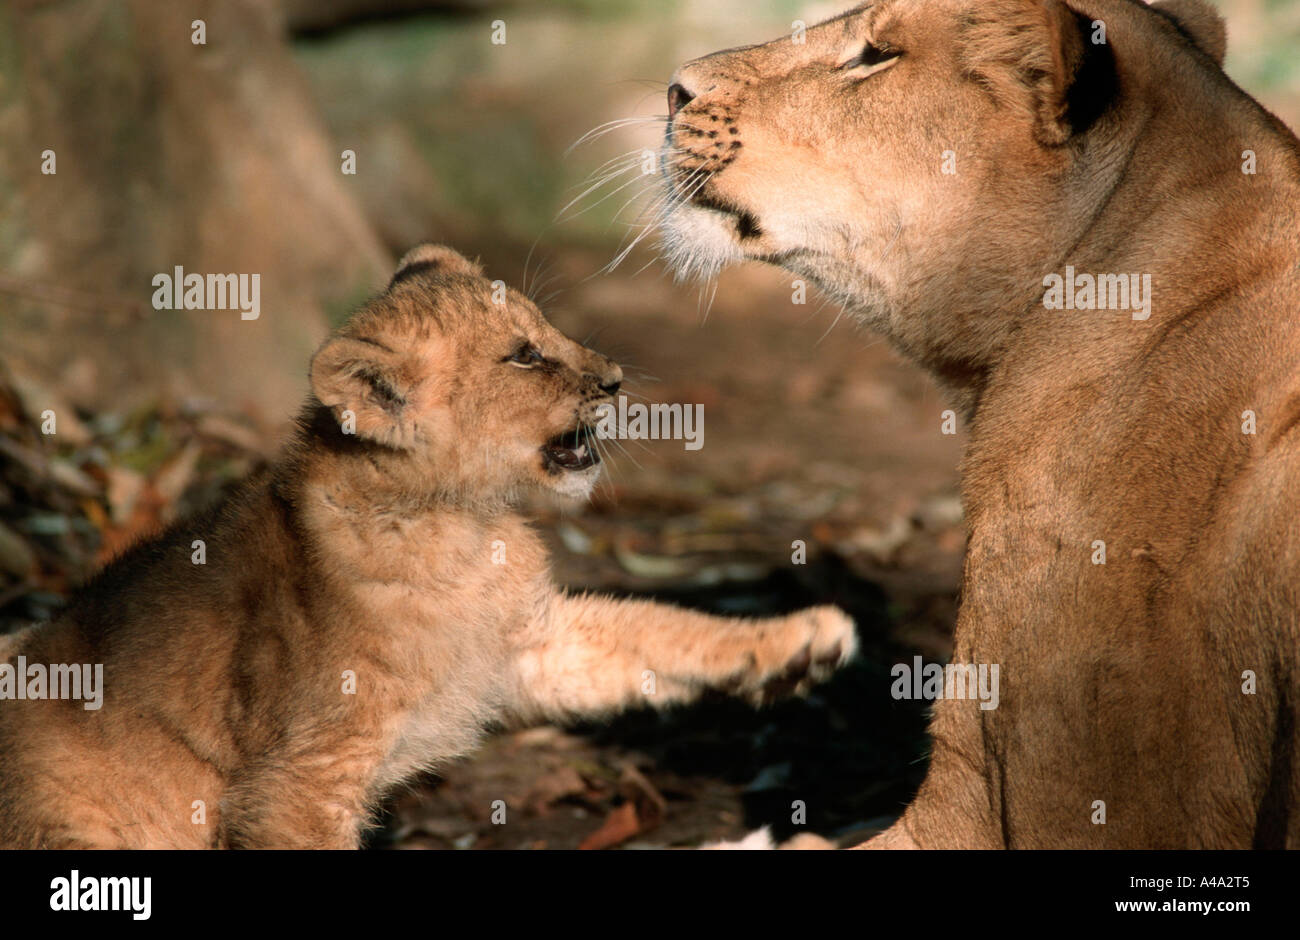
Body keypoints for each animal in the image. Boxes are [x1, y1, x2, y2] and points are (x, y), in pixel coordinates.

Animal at [0, 245, 856, 849]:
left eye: (549, 331)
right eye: (524, 355)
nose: (616, 379)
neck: (460, 527)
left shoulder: (527, 645)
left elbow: (655, 629)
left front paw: (798, 643)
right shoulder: (297, 783)